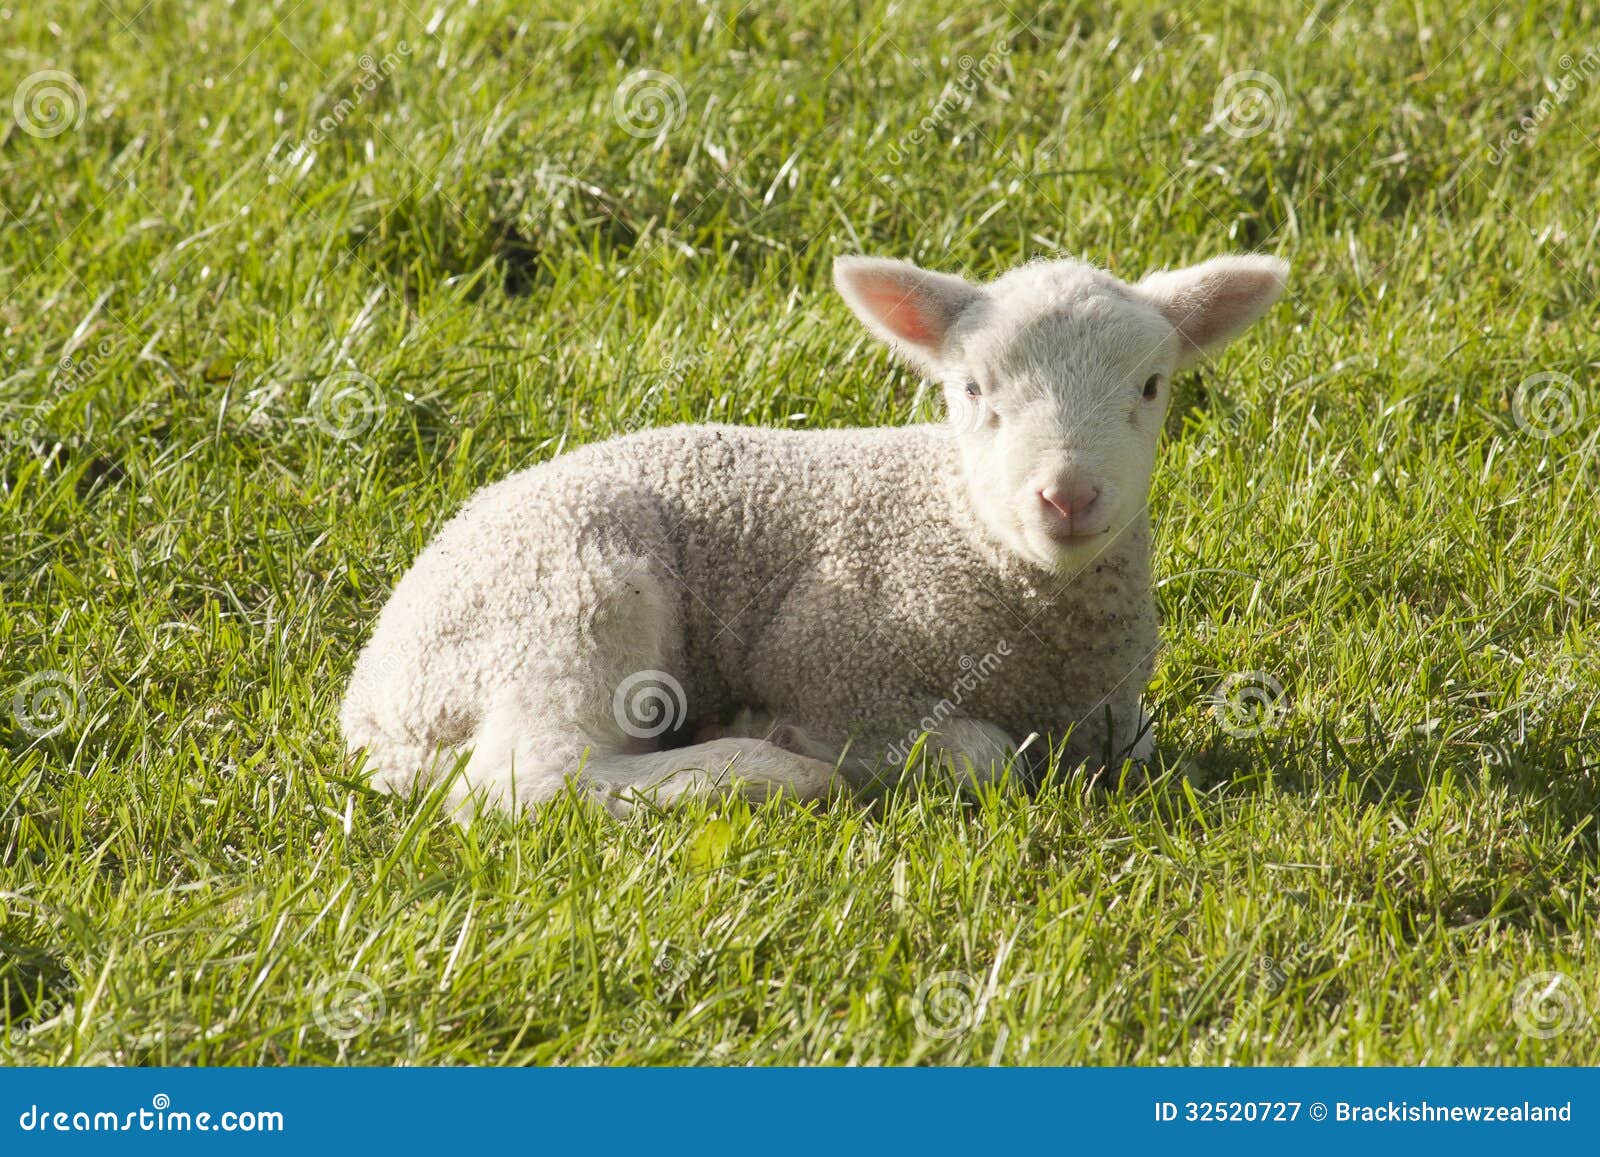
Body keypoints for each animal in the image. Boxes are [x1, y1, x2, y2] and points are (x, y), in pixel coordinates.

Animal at [340, 251, 1289, 818]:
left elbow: (1134, 743)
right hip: (569, 599)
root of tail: (374, 708)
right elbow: (984, 758)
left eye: (1152, 387)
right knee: (528, 777)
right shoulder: (835, 664)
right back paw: (761, 771)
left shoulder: (1114, 715)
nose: (1067, 495)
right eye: (972, 390)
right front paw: (812, 744)